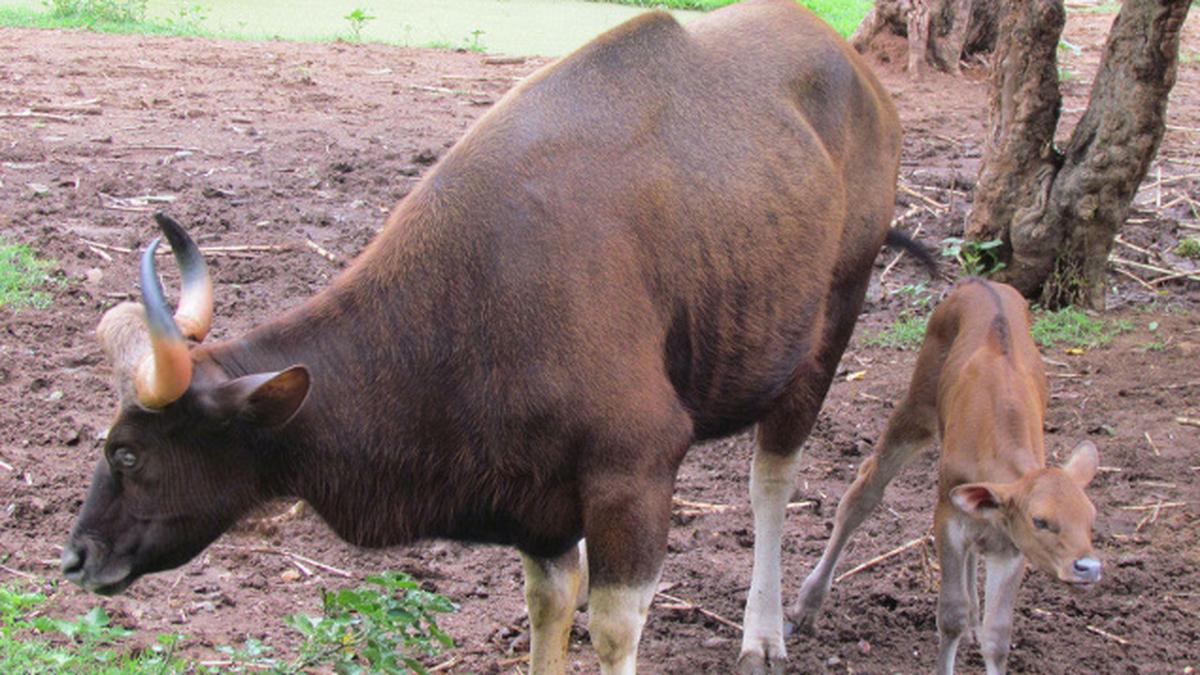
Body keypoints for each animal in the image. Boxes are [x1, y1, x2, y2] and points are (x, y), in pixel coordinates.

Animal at [61, 1, 921, 672]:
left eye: (128, 452)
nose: (76, 554)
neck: (474, 299)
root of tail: (858, 71)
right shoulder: (536, 494)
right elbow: (550, 602)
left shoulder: (635, 467)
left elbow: (615, 629)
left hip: (832, 319)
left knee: (772, 475)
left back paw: (765, 630)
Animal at [790, 279, 1102, 675]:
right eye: (1041, 521)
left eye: (1091, 520)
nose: (1088, 568)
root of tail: (980, 282)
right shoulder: (948, 512)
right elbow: (950, 614)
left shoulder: (1010, 540)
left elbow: (998, 635)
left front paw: (980, 629)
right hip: (917, 407)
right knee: (863, 493)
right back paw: (806, 606)